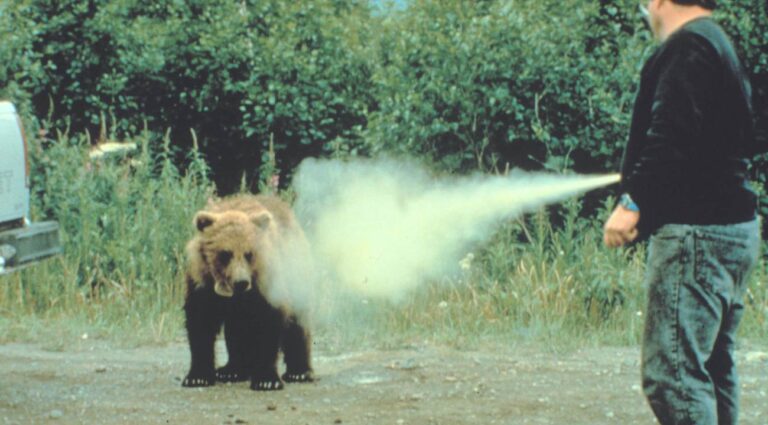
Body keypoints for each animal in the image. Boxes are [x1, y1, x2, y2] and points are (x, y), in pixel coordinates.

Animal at [181, 194, 314, 391]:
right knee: (236, 330)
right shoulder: (202, 285)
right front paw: (197, 377)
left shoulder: (268, 286)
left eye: (249, 254)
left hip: (297, 275)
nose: (241, 282)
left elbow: (270, 324)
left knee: (298, 323)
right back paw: (231, 370)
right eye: (225, 253)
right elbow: (200, 324)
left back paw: (299, 372)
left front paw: (267, 380)